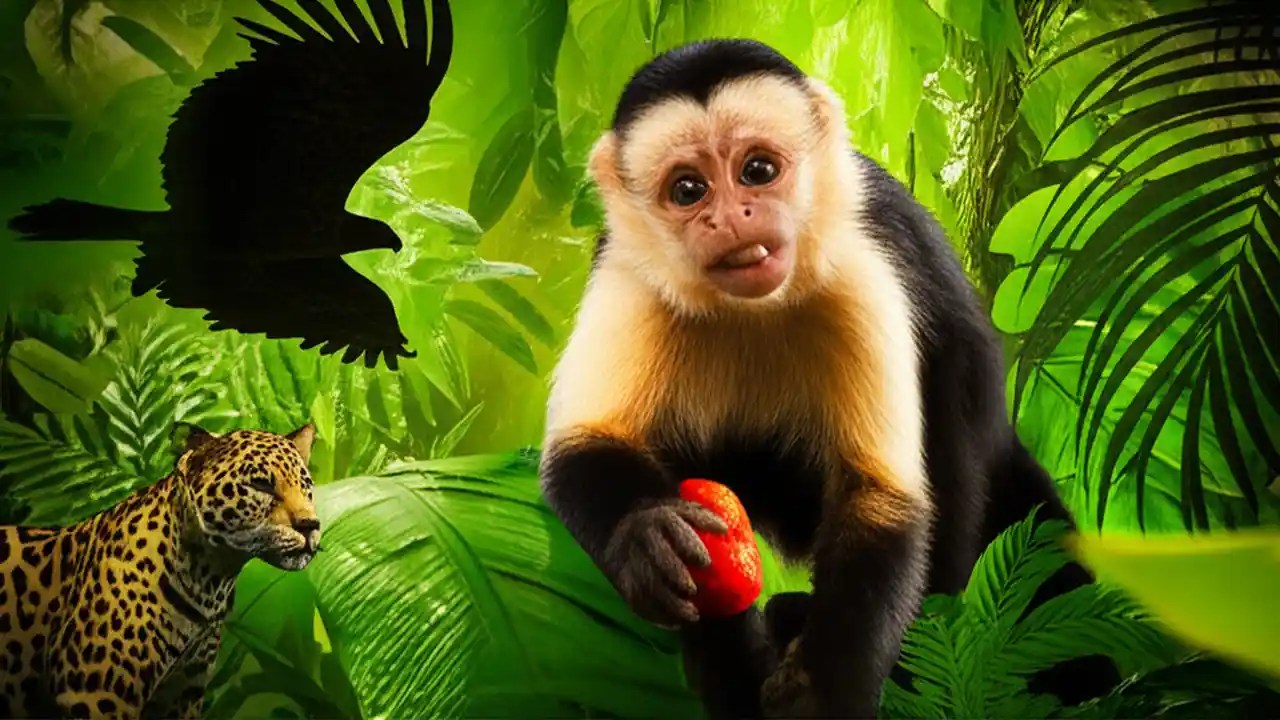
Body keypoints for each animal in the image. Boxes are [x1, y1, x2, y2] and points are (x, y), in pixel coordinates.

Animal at [0, 422, 322, 719]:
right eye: (261, 485)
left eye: (307, 487)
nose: (310, 525)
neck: (211, 579)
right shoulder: (94, 691)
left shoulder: (182, 693)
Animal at [538, 38, 1120, 719]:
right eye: (688, 189)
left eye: (758, 171)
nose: (730, 217)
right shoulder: (627, 272)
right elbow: (584, 445)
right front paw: (645, 534)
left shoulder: (861, 269)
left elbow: (879, 498)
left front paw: (826, 686)